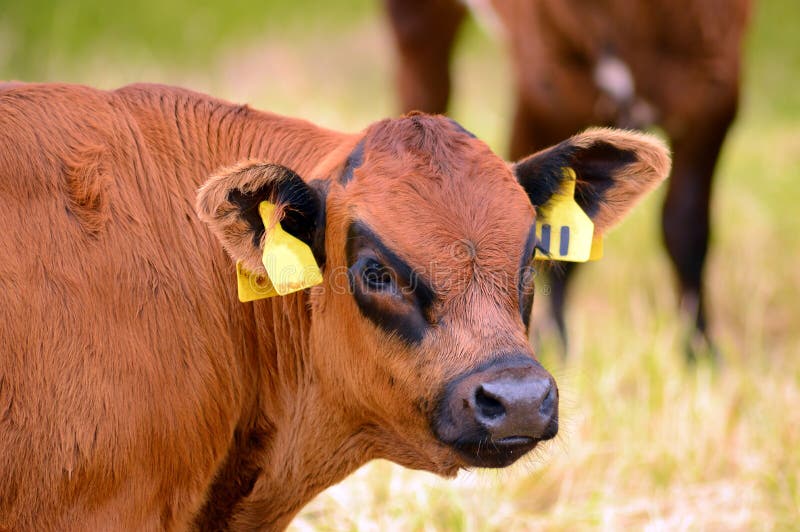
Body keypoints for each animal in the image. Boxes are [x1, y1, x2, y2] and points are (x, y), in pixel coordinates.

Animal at [386, 0, 751, 358]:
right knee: (422, 73)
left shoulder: (714, 84)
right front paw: (555, 344)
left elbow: (686, 229)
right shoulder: (545, 85)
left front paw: (700, 348)